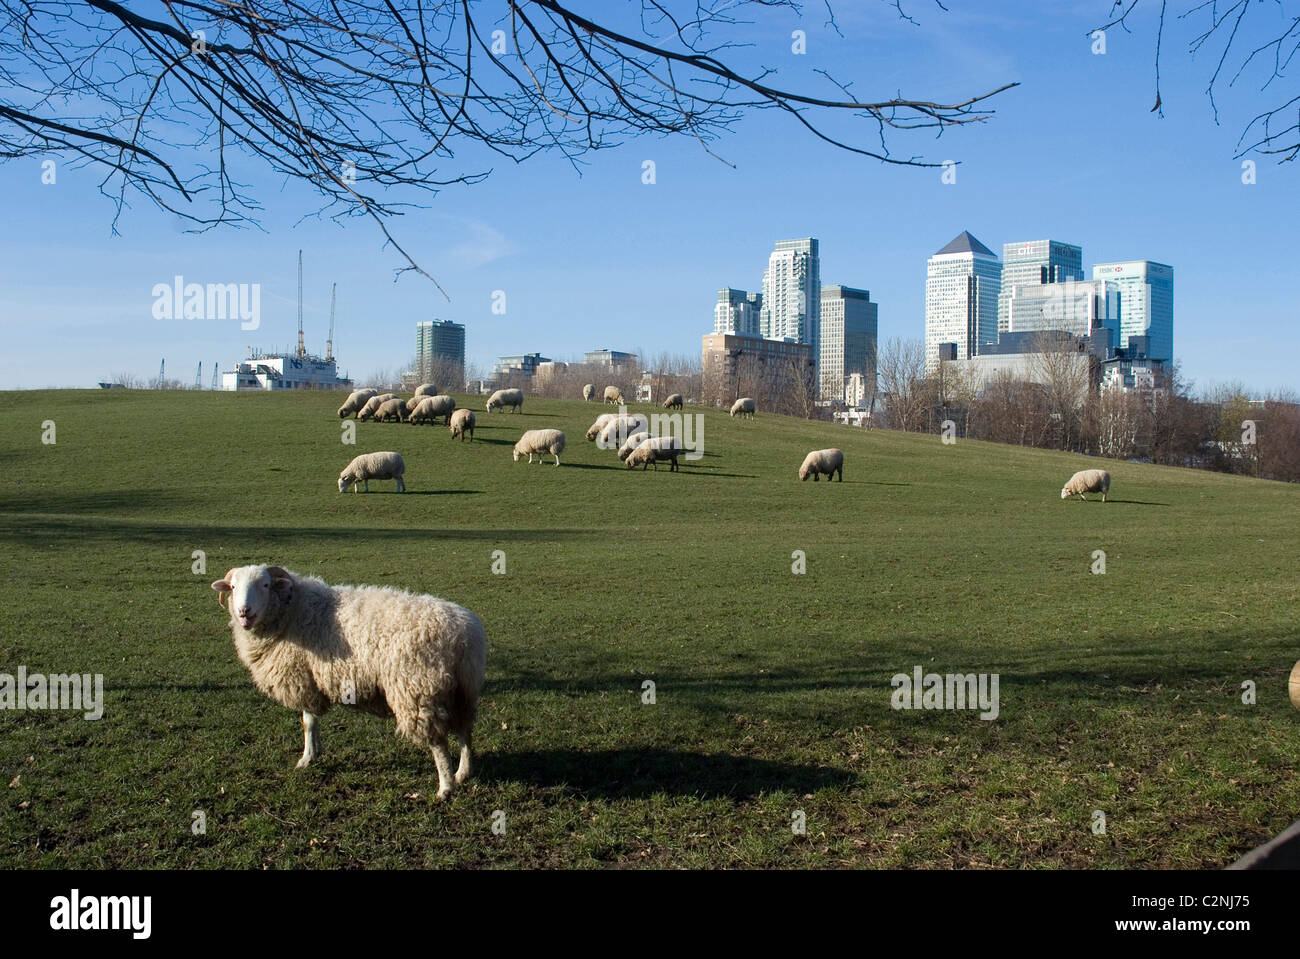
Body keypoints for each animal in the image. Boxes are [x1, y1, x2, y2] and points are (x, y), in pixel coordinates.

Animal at [211, 564, 486, 800]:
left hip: (418, 690)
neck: (292, 609)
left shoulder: (303, 678)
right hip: (462, 690)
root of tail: (463, 634)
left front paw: (306, 758)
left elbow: (307, 721)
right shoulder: (313, 679)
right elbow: (312, 722)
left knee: (438, 742)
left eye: (265, 584)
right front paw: (314, 754)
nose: (244, 612)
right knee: (465, 731)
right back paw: (463, 772)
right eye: (233, 587)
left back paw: (445, 787)